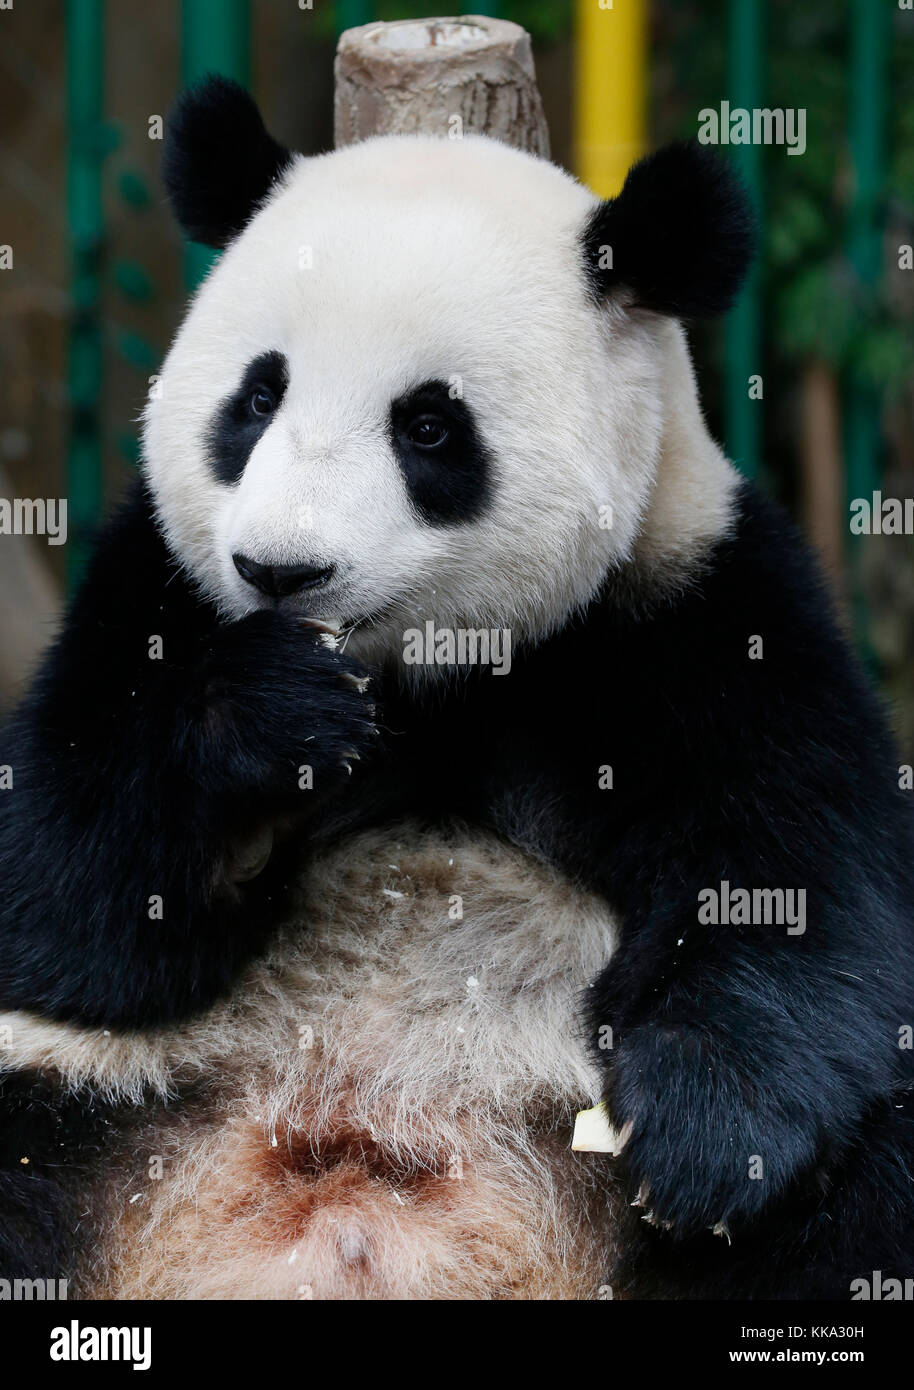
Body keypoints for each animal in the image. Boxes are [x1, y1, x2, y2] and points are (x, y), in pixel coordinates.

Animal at [1, 75, 914, 1302]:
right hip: (86, 1108)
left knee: (870, 1176)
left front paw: (708, 1142)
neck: (424, 684)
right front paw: (275, 717)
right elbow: (61, 892)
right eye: (256, 399)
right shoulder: (150, 589)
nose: (280, 572)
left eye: (428, 425)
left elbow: (803, 887)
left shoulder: (694, 607)